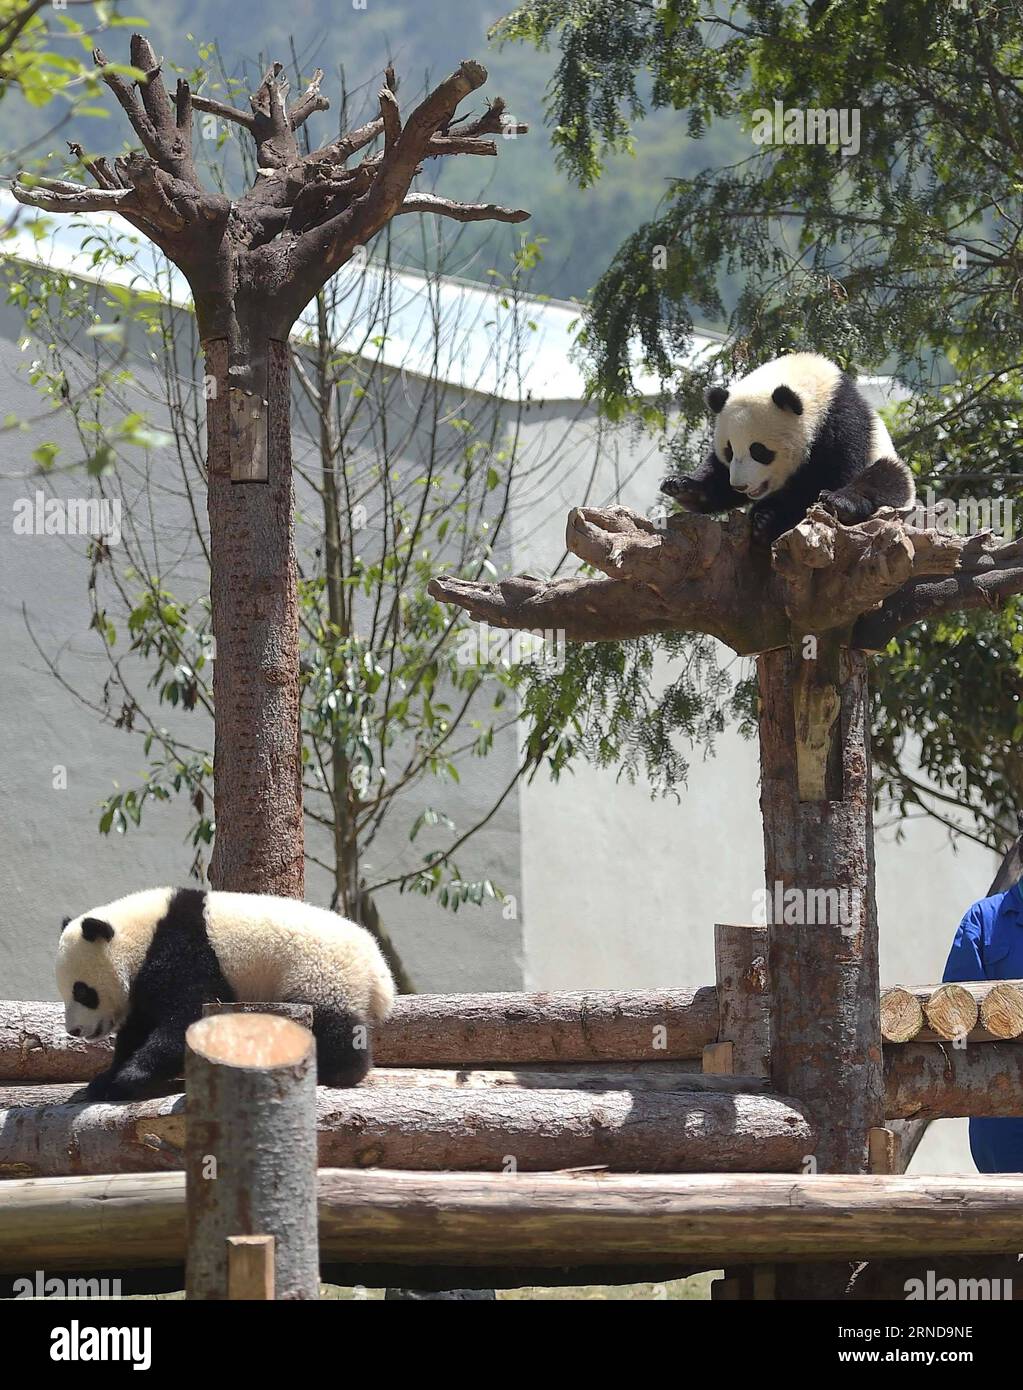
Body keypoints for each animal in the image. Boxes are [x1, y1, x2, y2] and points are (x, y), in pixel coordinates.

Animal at [57, 887, 395, 1102]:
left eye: (82, 992)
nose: (75, 1030)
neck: (141, 935)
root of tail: (379, 972)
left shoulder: (183, 951)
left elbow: (185, 1018)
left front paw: (129, 1077)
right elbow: (139, 1028)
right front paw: (103, 1081)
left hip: (320, 974)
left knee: (335, 1025)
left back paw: (338, 1070)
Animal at [660, 352, 915, 545]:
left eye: (759, 451)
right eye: (729, 451)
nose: (740, 485)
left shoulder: (842, 423)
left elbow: (830, 477)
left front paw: (769, 518)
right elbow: (717, 474)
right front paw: (681, 486)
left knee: (889, 477)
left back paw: (840, 503)